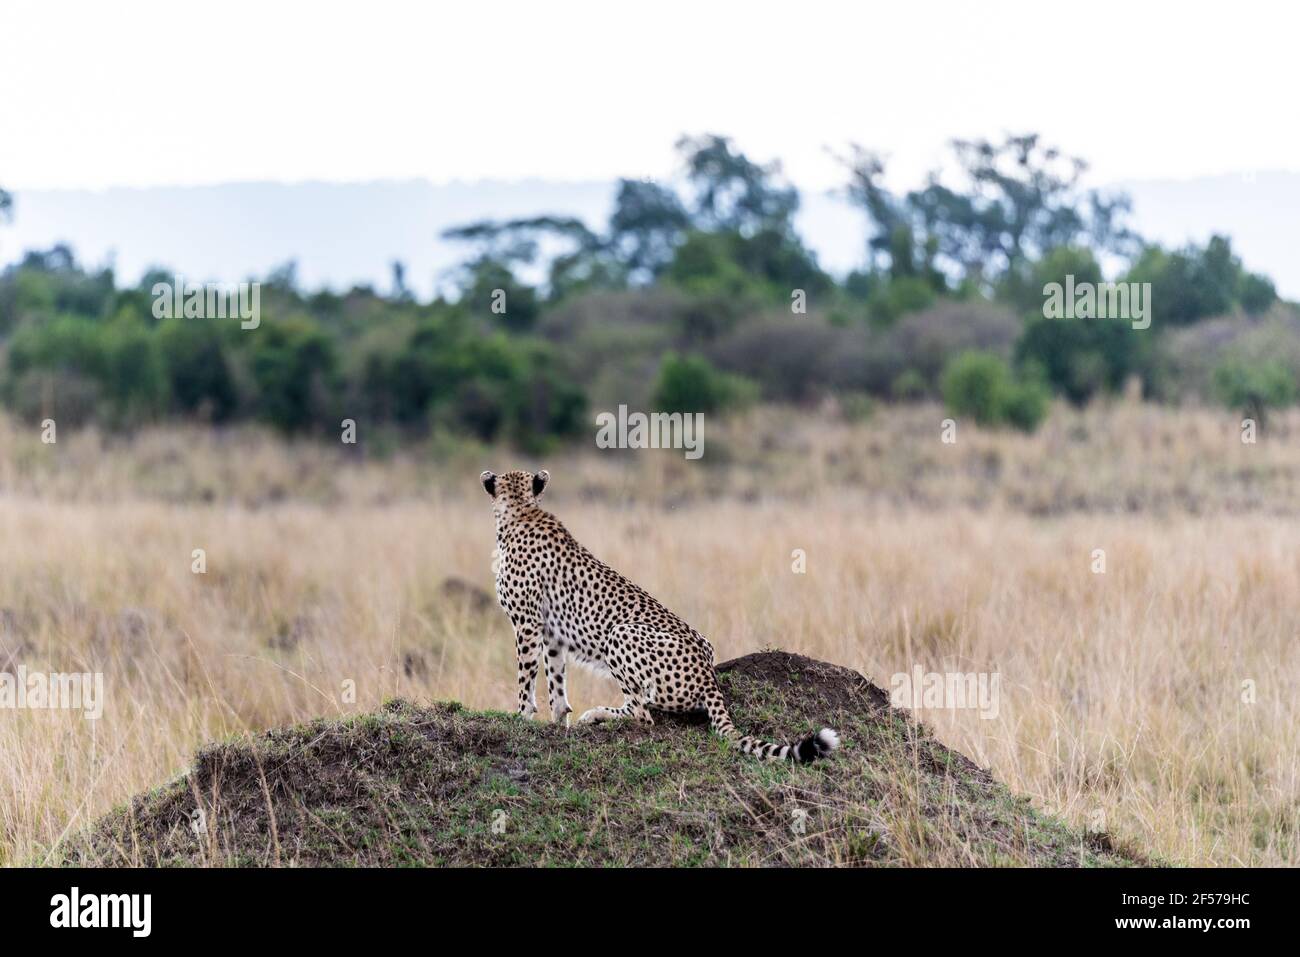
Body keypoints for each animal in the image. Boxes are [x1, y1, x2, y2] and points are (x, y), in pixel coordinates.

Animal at [480, 468, 840, 763]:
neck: (521, 511)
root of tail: (707, 674)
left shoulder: (527, 623)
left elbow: (525, 677)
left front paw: (522, 716)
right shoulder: (552, 633)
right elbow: (556, 680)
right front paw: (558, 721)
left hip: (620, 633)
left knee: (643, 713)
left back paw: (598, 714)